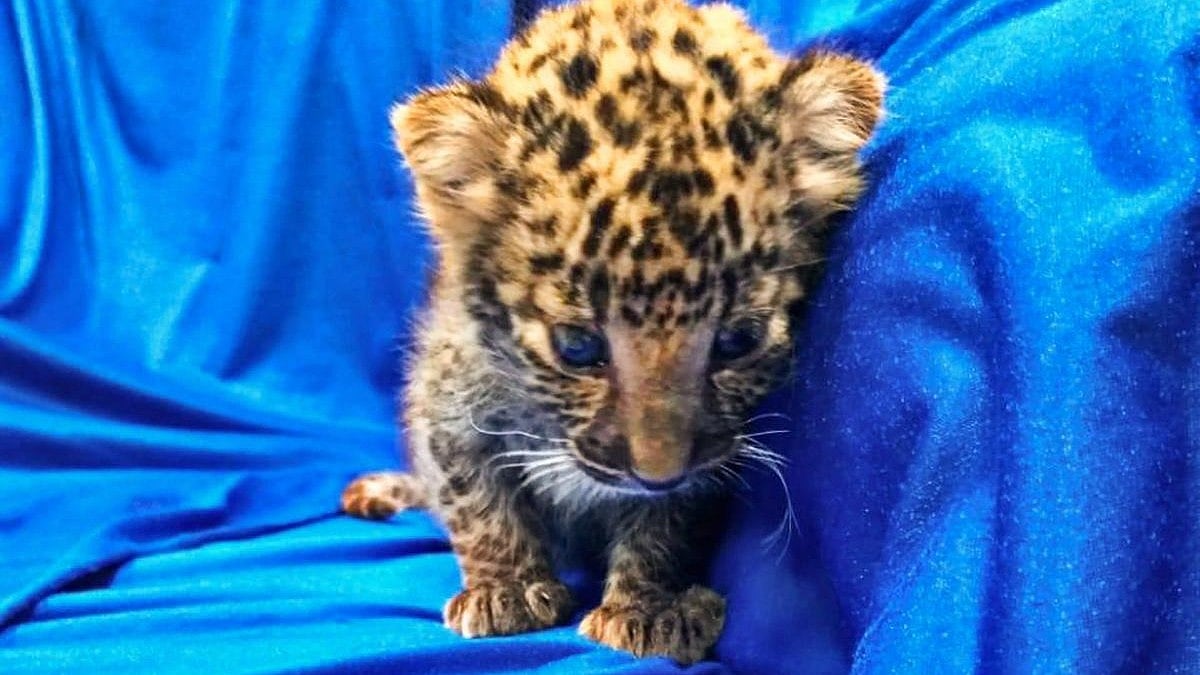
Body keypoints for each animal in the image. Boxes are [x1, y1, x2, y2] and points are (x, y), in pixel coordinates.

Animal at [342, 0, 884, 664]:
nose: (657, 473)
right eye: (578, 348)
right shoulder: (445, 399)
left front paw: (649, 607)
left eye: (737, 341)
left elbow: (667, 524)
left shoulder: (703, 470)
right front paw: (506, 590)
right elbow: (472, 495)